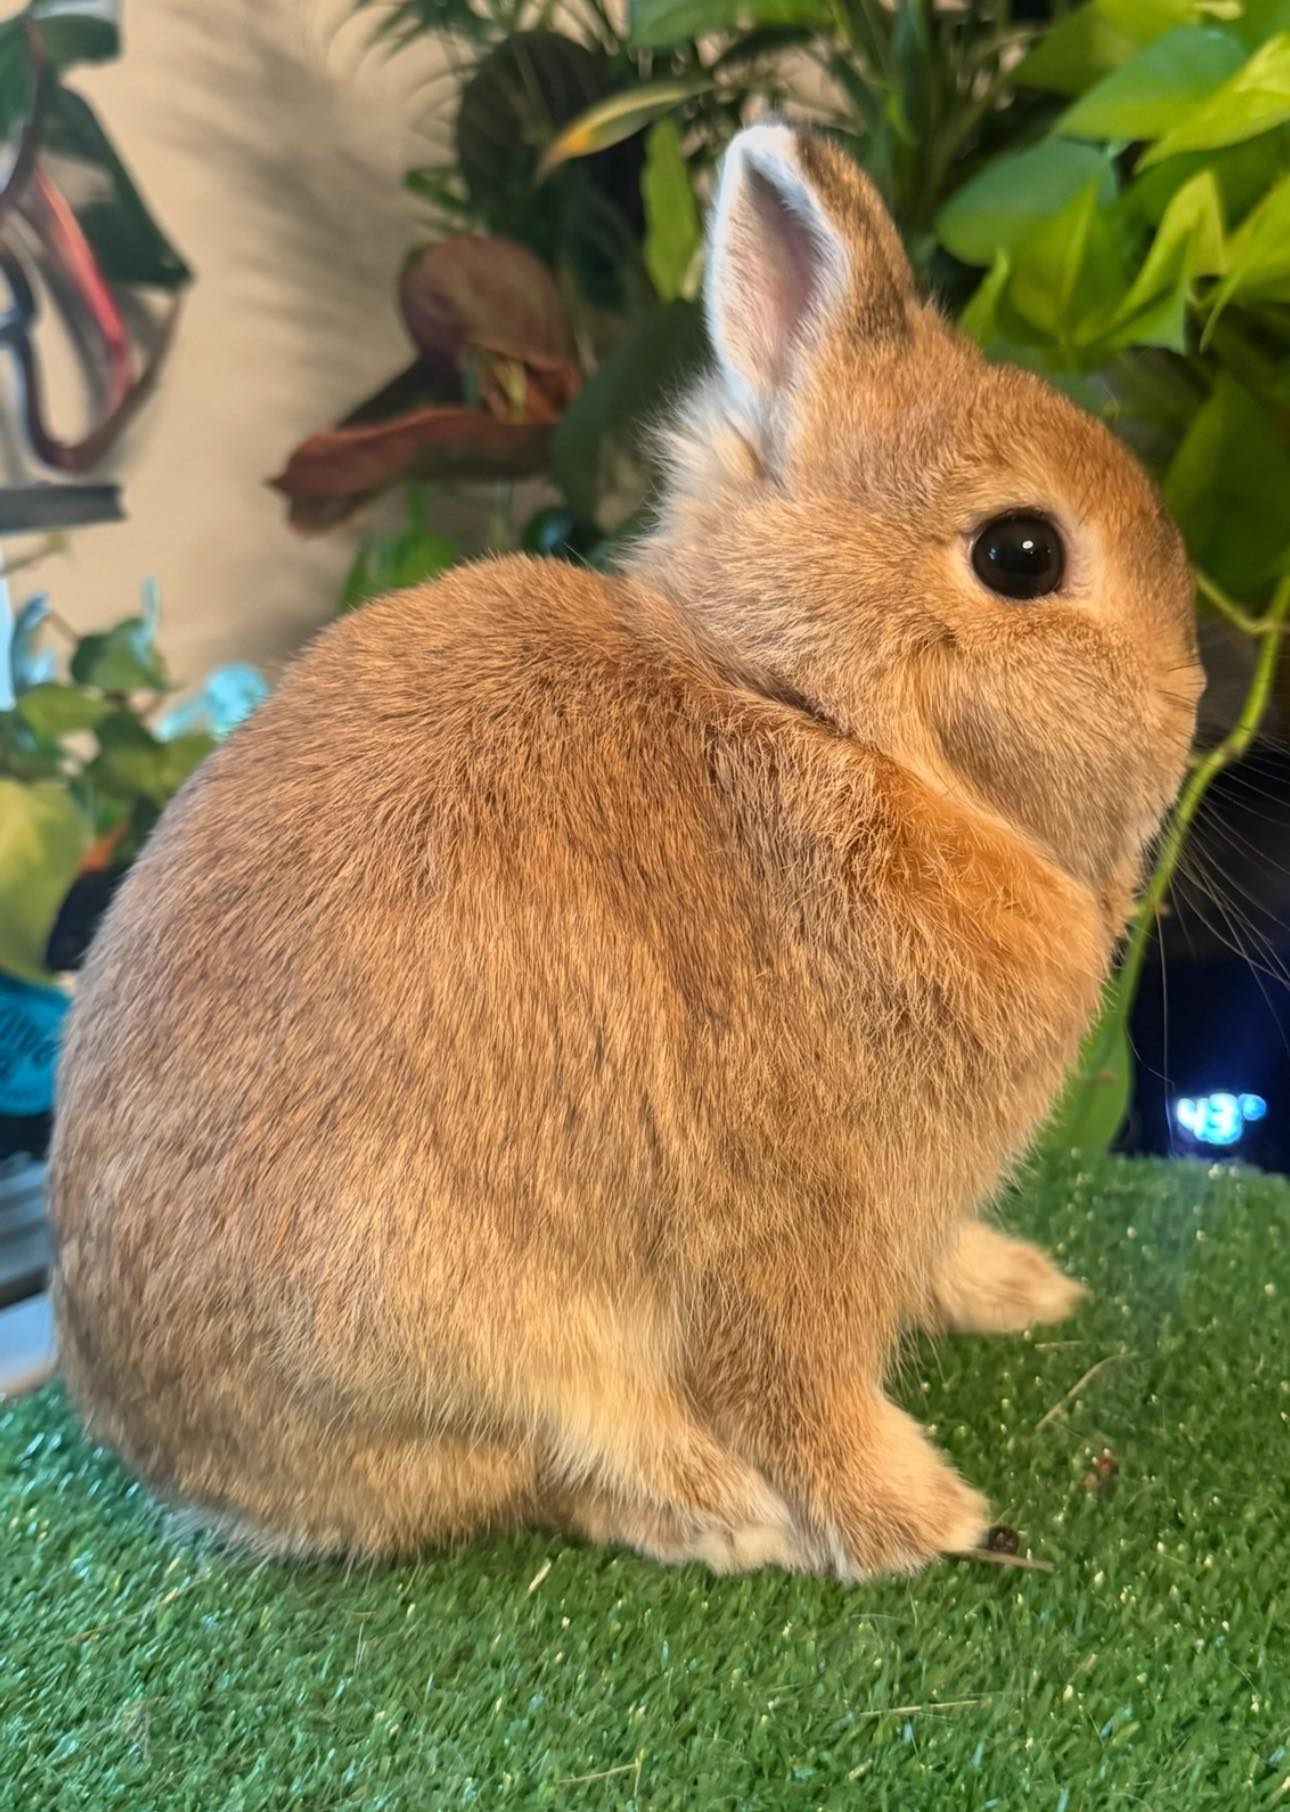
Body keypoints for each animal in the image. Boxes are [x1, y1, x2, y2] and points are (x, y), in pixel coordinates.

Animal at [49, 123, 1202, 1579]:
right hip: (448, 1318)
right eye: (1022, 552)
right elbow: (800, 1389)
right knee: (562, 1458)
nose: (1191, 705)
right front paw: (917, 1522)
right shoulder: (797, 1227)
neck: (813, 712)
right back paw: (724, 1514)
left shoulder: (900, 1215)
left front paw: (1018, 1290)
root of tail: (161, 1450)